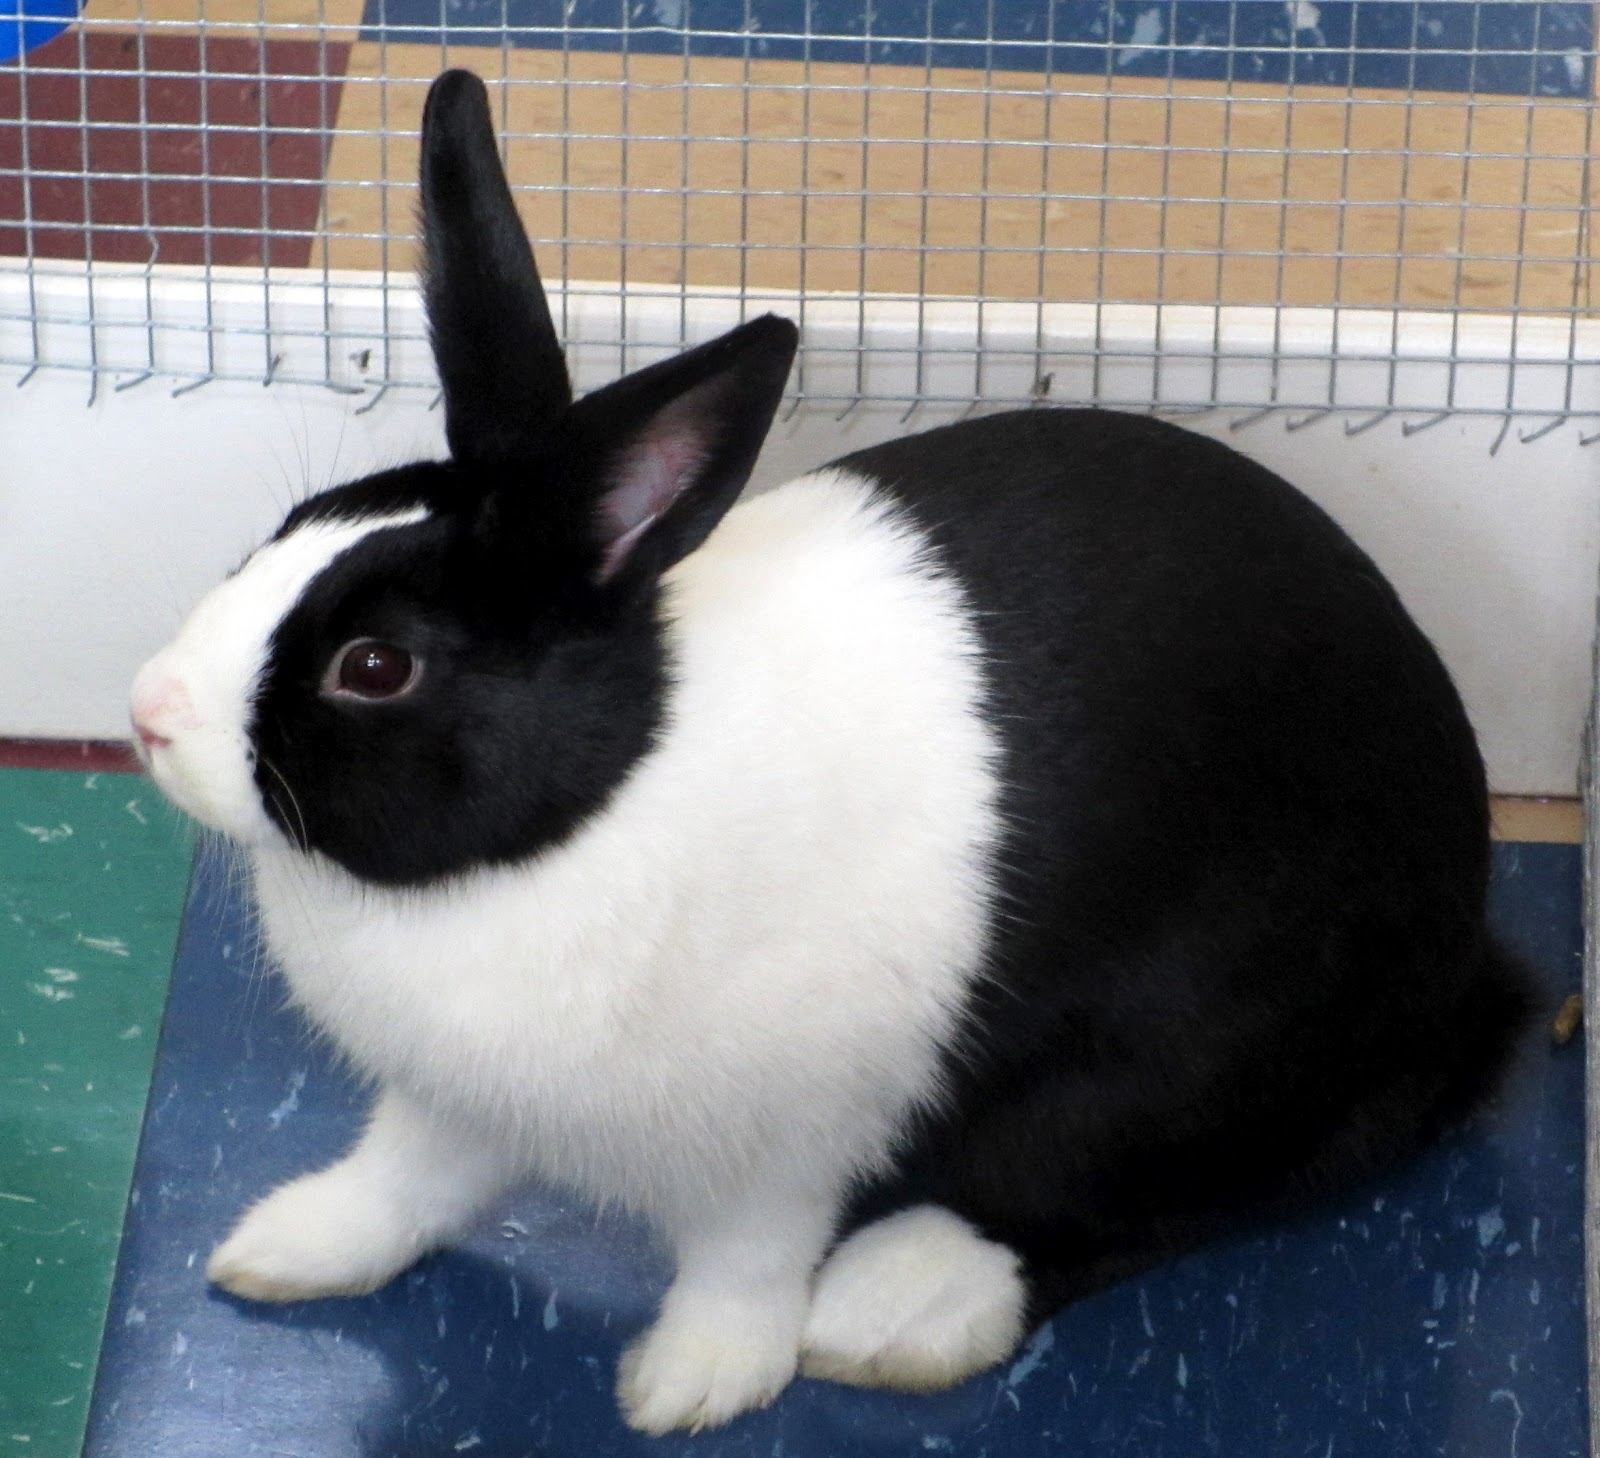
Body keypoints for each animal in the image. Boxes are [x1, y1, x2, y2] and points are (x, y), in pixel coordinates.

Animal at [129, 68, 1534, 1435]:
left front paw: (691, 1386)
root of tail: (1467, 971)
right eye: (294, 524)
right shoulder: (451, 1103)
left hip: (1174, 1064)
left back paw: (896, 1309)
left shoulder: (788, 1147)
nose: (149, 713)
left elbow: (743, 1265)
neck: (580, 815)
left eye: (376, 668)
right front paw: (286, 1250)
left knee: (1174, 1193)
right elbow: (404, 1182)